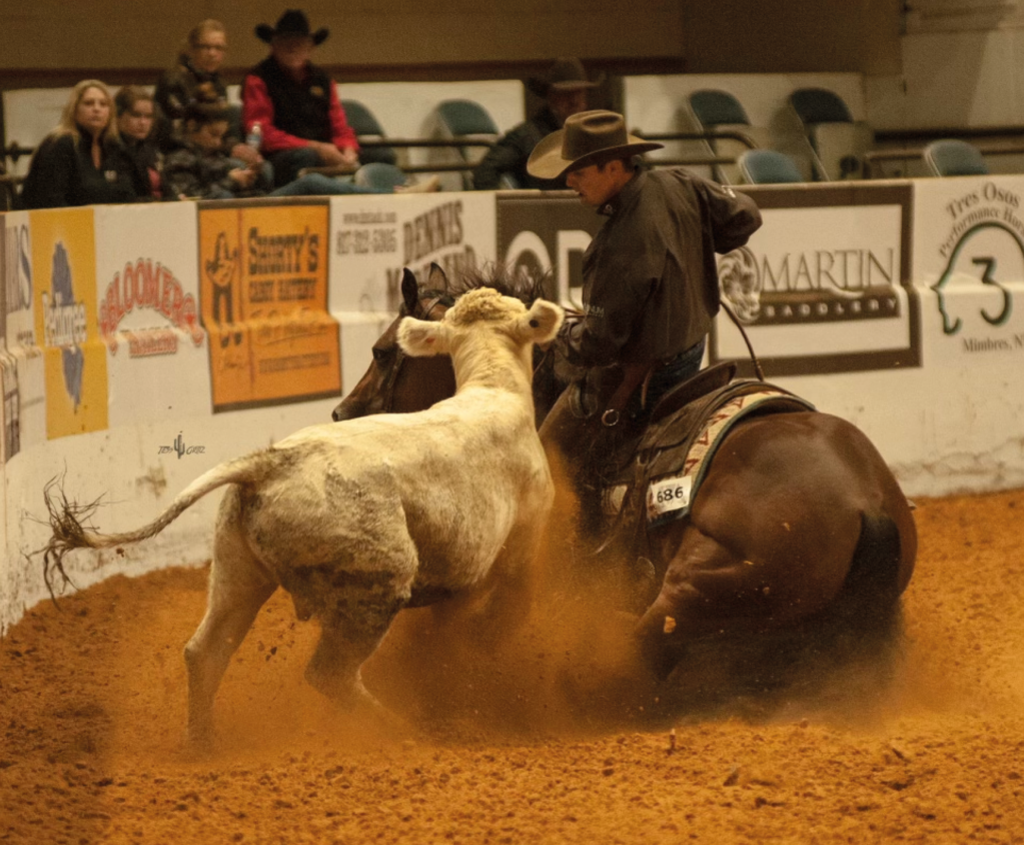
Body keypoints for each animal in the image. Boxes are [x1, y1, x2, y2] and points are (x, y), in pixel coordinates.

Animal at [41, 282, 564, 745]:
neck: (493, 389)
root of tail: (269, 463)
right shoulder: (524, 542)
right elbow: (505, 610)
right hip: (373, 589)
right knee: (328, 674)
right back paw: (401, 732)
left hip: (235, 569)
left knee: (204, 652)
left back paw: (202, 742)